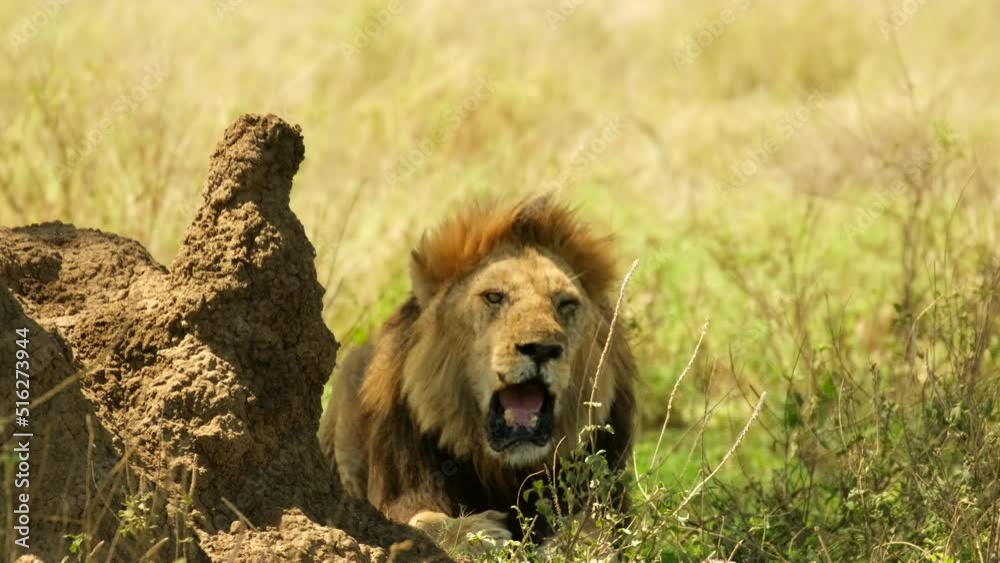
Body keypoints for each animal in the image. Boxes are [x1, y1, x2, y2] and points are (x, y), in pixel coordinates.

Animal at [318, 196, 636, 553]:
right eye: (494, 297)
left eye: (566, 303)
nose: (541, 348)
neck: (503, 470)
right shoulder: (399, 492)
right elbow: (423, 522)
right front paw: (480, 535)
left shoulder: (608, 495)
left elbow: (596, 528)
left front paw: (562, 545)